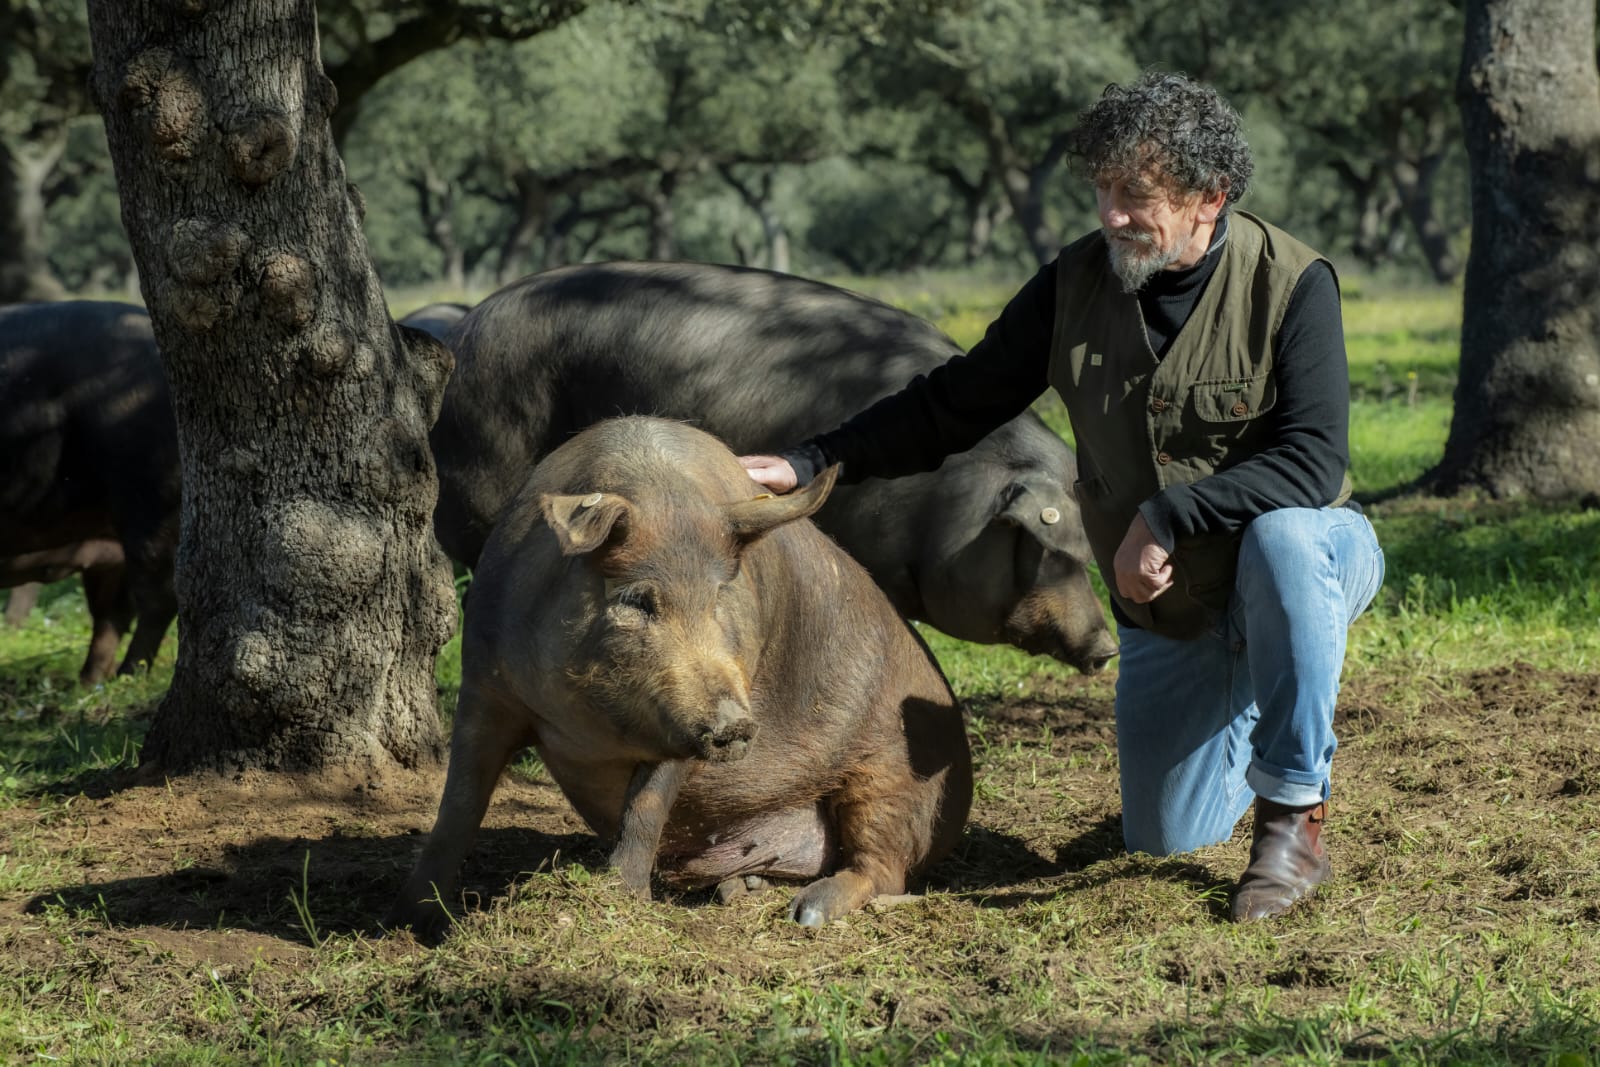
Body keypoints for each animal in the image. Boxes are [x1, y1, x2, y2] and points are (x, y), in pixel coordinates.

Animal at [0, 301, 180, 684]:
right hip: (110, 538)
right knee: (112, 613)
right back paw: (89, 683)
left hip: (151, 498)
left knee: (157, 598)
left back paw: (128, 677)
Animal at [390, 416, 973, 938]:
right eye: (637, 600)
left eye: (721, 595)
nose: (736, 724)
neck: (588, 722)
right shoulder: (485, 685)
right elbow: (459, 804)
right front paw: (416, 919)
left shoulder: (678, 731)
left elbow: (646, 809)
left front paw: (619, 901)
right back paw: (744, 889)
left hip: (893, 776)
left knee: (884, 871)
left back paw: (806, 913)